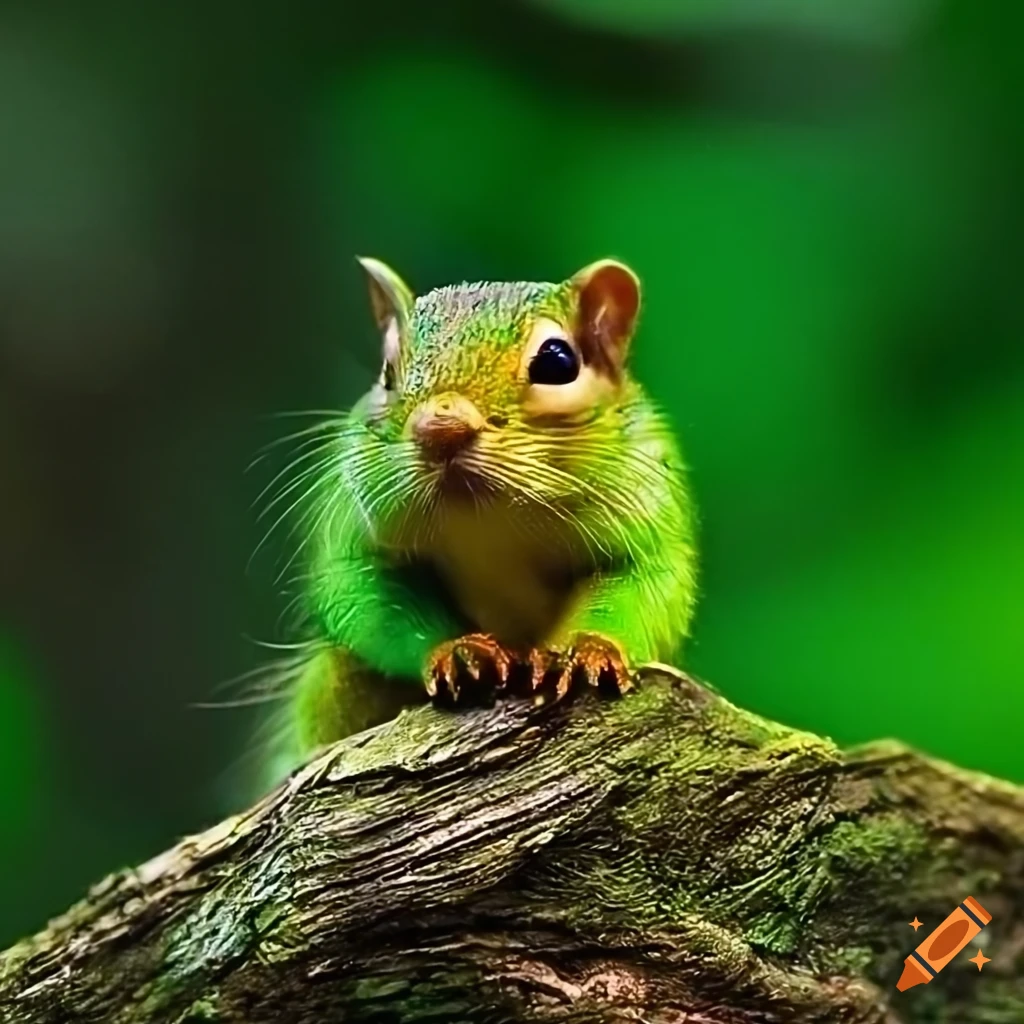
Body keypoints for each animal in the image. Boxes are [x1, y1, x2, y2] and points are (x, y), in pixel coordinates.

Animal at [256, 257, 698, 784]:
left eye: (558, 362)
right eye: (386, 372)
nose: (440, 426)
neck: (486, 519)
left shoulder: (647, 512)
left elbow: (646, 584)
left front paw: (586, 650)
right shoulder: (353, 526)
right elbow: (362, 595)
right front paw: (459, 652)